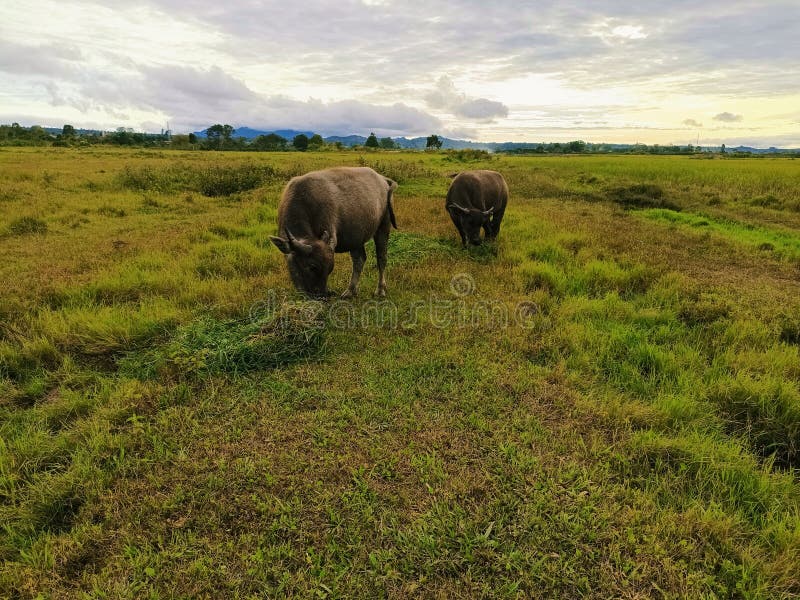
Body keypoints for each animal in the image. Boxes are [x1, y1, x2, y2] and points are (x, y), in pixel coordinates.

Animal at [269, 167, 398, 299]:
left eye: (330, 268)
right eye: (312, 267)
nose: (321, 294)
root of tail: (383, 180)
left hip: (384, 226)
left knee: (381, 258)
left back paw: (380, 290)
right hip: (355, 238)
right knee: (359, 260)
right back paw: (350, 290)